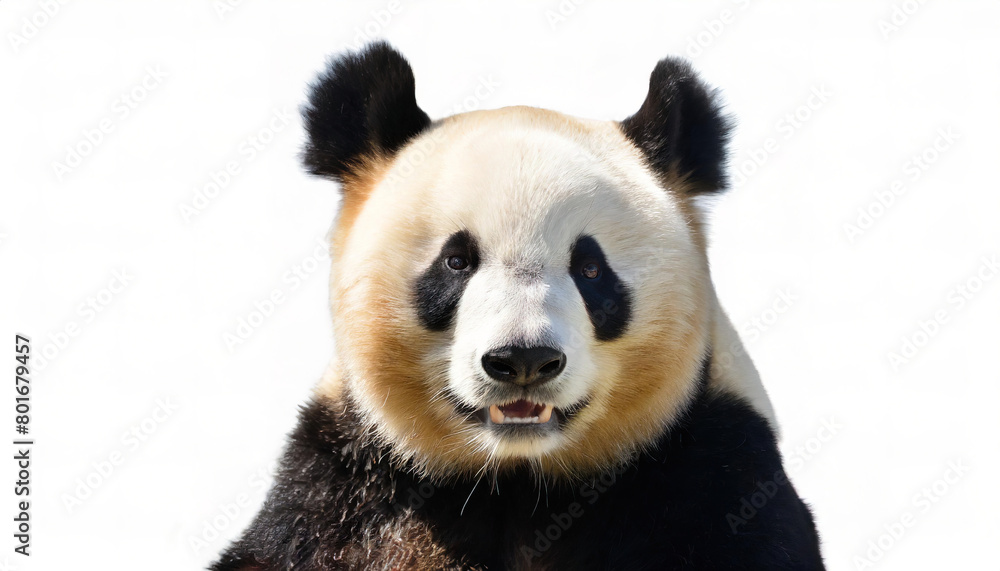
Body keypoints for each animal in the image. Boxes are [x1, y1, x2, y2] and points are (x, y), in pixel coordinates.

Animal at [212, 42, 824, 570]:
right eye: (456, 261)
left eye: (590, 269)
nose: (524, 360)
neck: (517, 481)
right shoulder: (345, 487)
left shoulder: (711, 470)